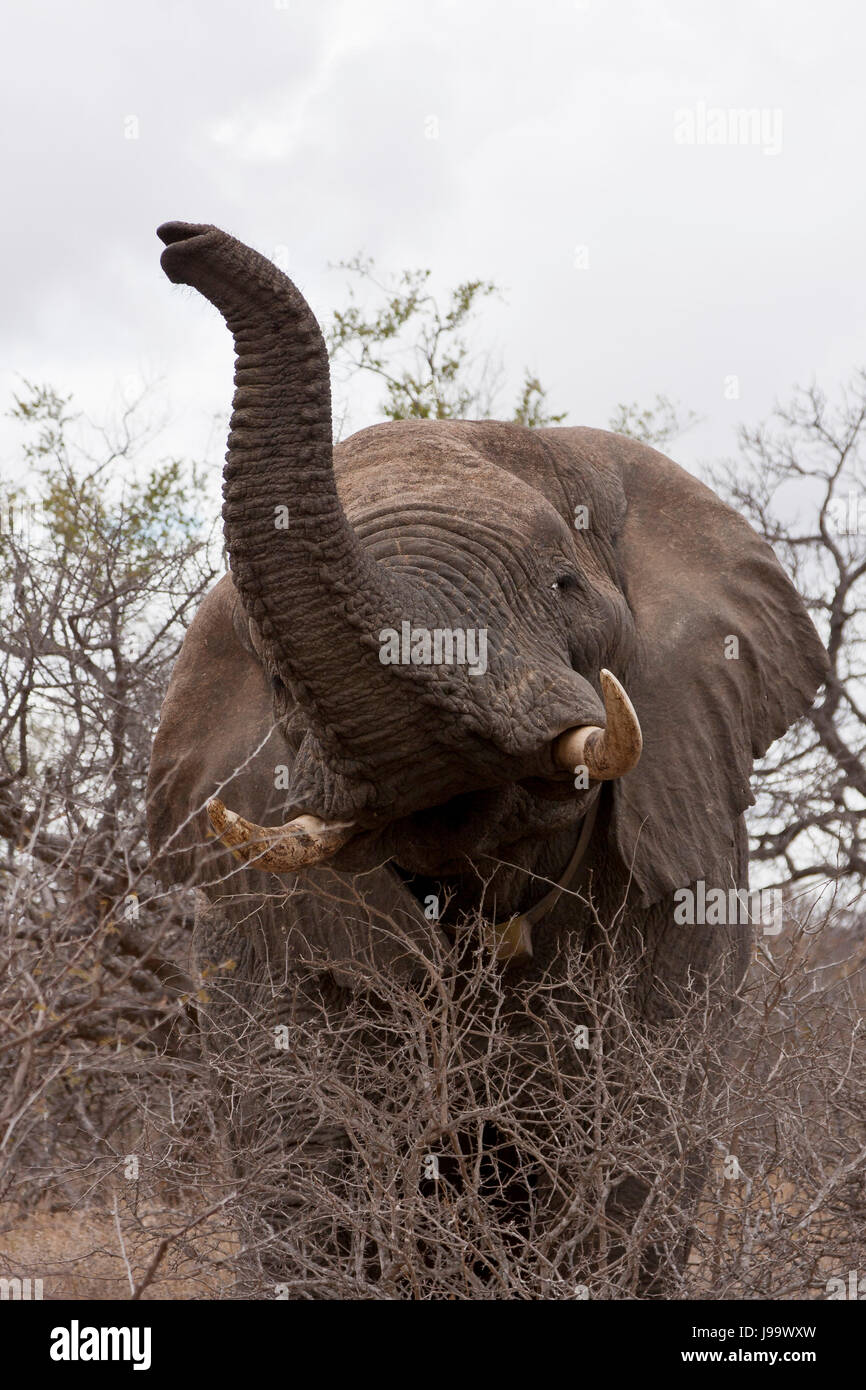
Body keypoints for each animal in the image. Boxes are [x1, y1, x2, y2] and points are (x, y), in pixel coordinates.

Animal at [146, 220, 828, 1299]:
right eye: (277, 679)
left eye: (561, 586)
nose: (179, 241)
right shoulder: (277, 934)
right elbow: (310, 1160)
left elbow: (623, 1154)